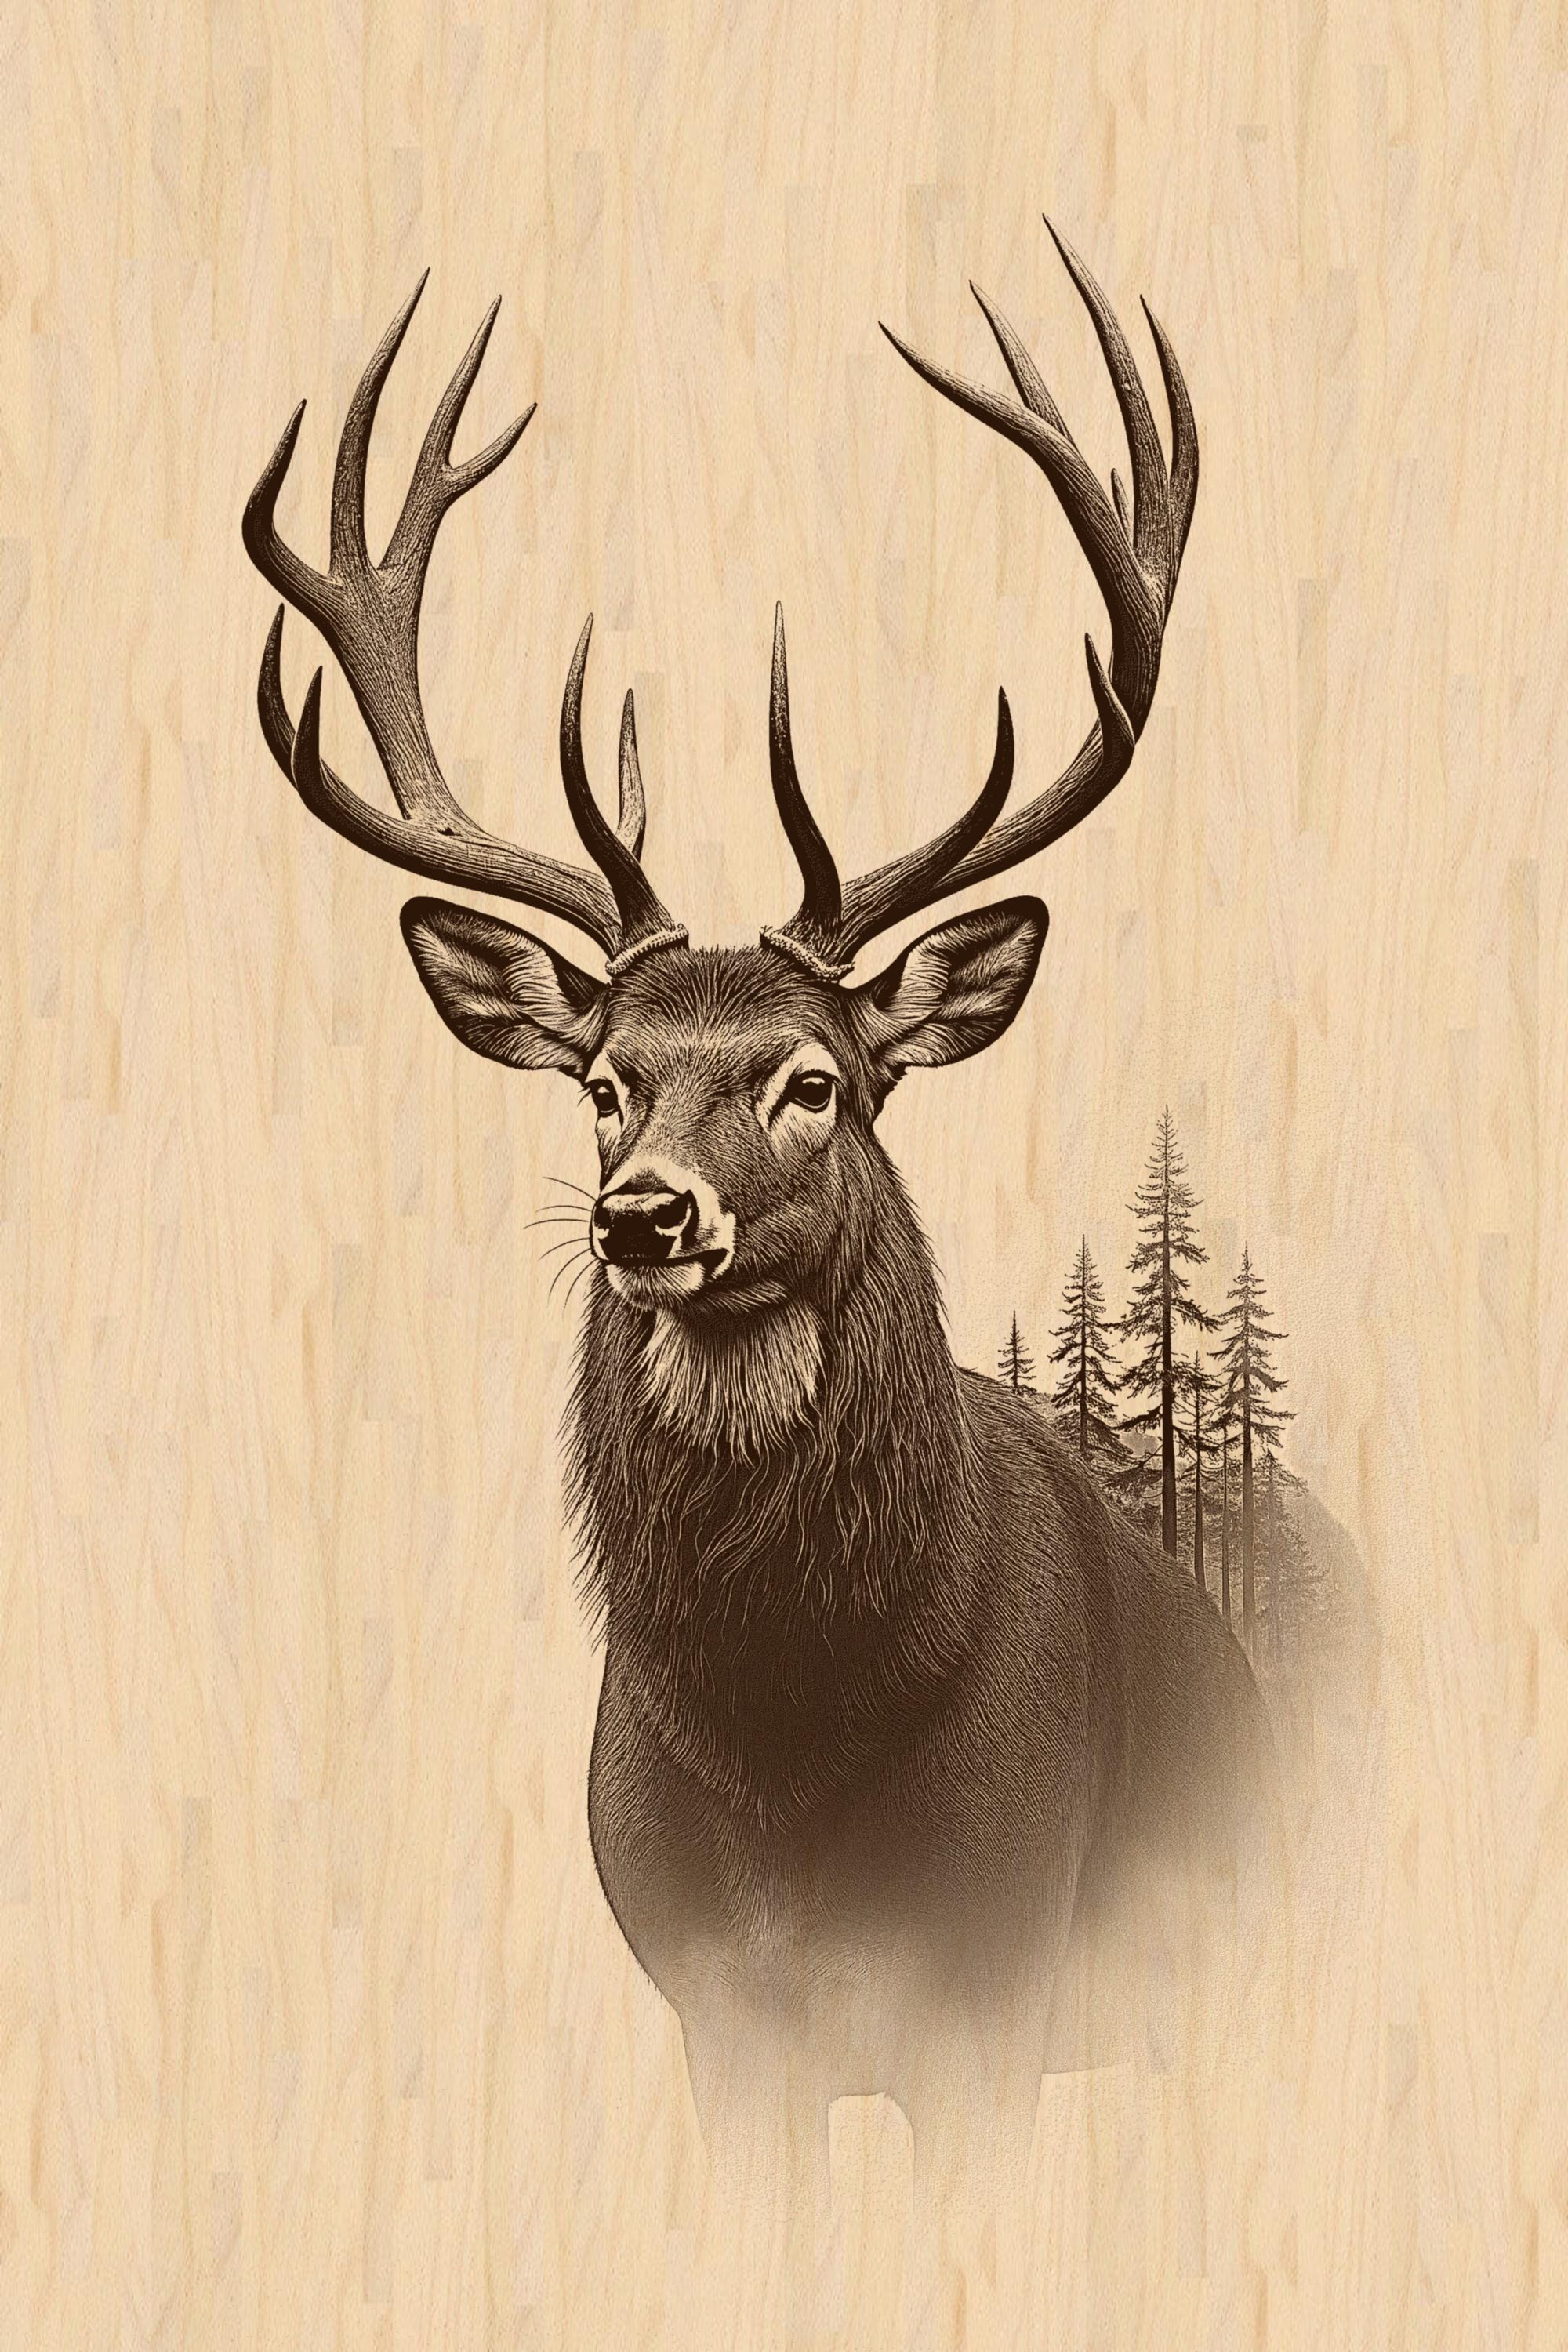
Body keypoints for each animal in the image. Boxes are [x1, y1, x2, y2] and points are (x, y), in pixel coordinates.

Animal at [243, 224, 1272, 2159]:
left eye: (817, 1082)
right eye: (600, 1084)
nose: (646, 1217)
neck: (789, 1770)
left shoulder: (997, 1986)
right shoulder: (716, 2023)